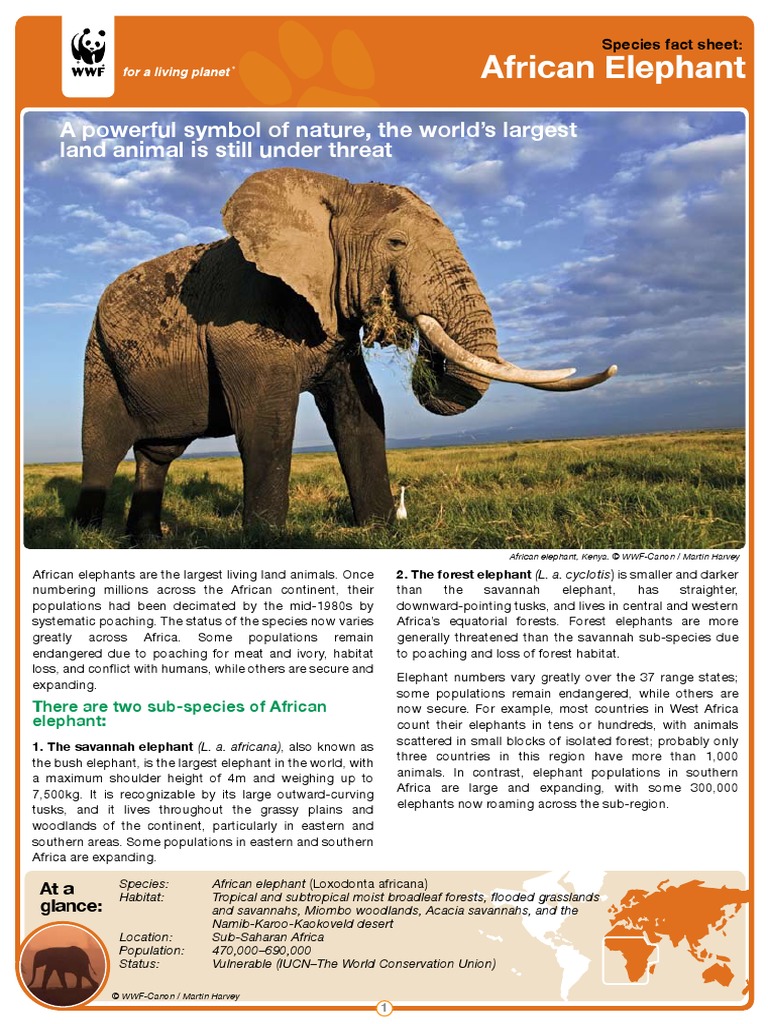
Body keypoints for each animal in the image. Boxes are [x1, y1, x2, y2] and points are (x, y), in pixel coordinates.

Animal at [73, 167, 616, 539]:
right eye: (396, 242)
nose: (402, 319)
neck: (329, 194)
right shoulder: (244, 320)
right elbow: (267, 424)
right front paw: (268, 542)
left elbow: (361, 412)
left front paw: (379, 531)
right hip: (97, 355)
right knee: (101, 445)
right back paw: (87, 538)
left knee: (157, 453)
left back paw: (145, 542)